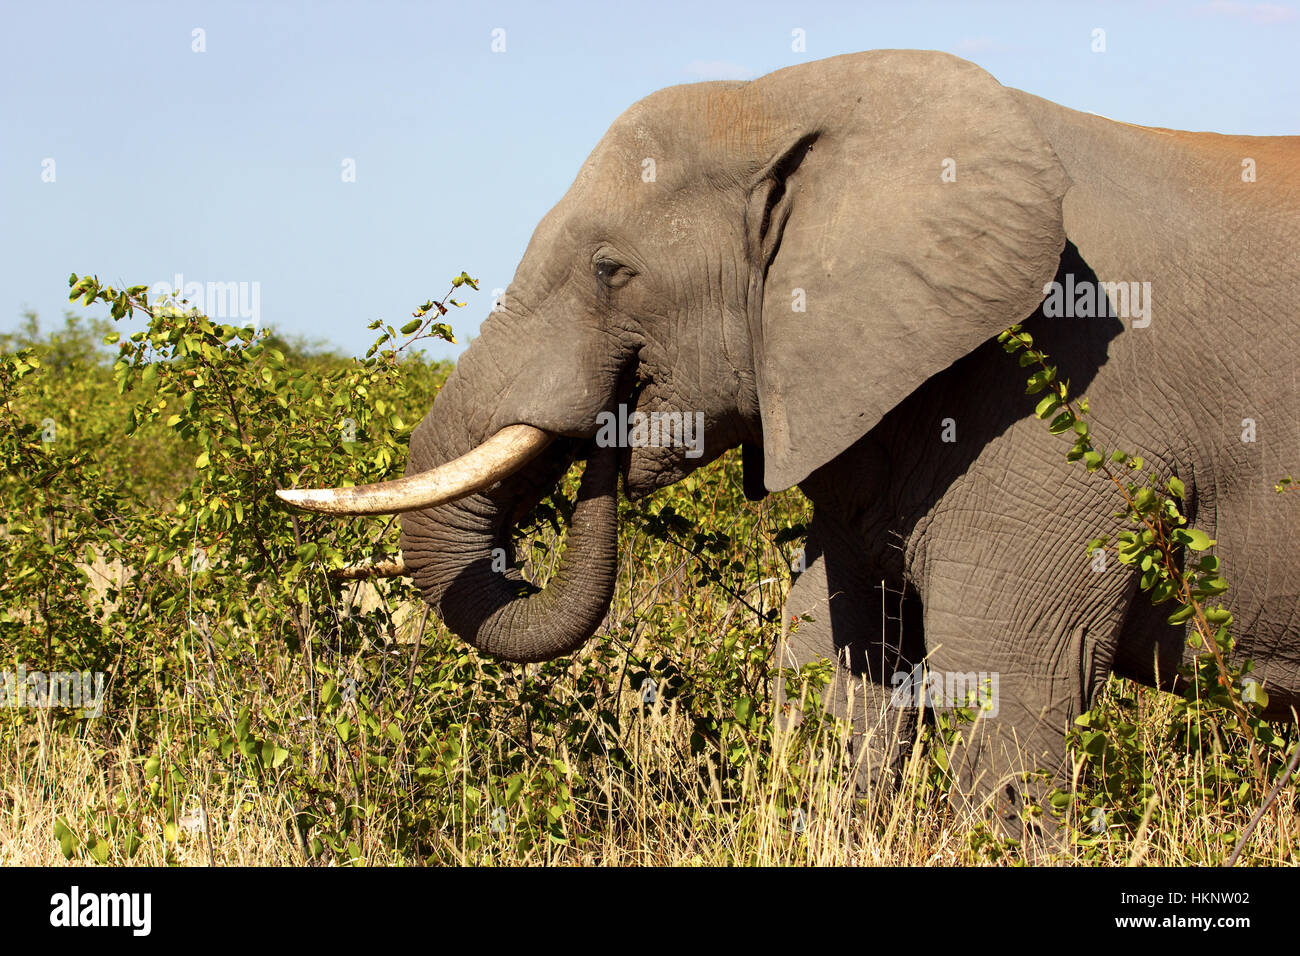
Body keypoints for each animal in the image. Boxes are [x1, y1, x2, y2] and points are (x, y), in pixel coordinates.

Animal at [280, 50, 1300, 823]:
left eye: (612, 270)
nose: (616, 419)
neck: (797, 102)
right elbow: (833, 664)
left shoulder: (1062, 403)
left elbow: (1005, 683)